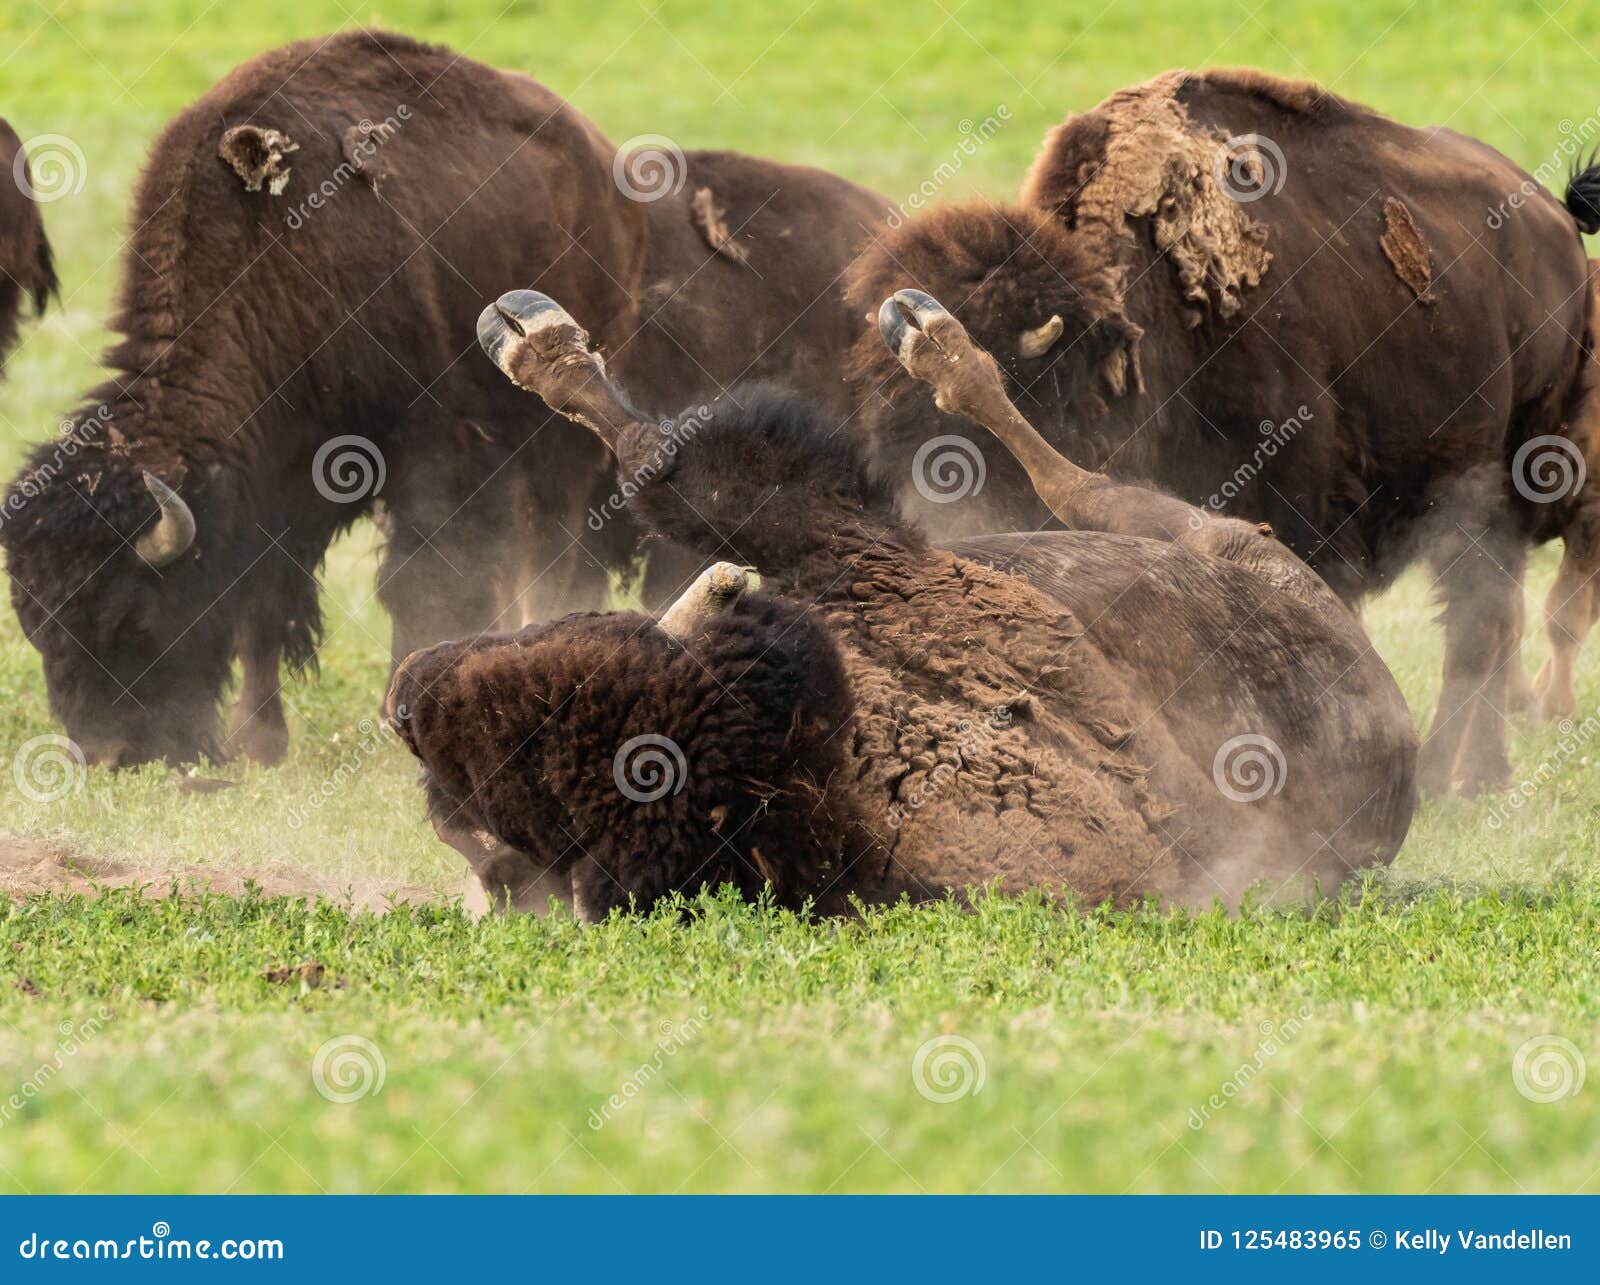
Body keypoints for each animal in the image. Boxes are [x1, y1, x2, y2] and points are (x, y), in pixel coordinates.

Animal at [0, 30, 888, 768]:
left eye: (131, 616)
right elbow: (265, 611)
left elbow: (419, 577)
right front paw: (262, 746)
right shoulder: (275, 485)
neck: (274, 265)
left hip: (556, 446)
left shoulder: (427, 448)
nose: (104, 755)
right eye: (37, 623)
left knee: (552, 550)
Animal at [383, 287, 1417, 920]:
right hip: (1230, 550)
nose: (404, 700)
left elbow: (673, 469)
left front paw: (531, 341)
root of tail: (1397, 746)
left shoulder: (853, 548)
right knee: (1083, 485)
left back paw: (926, 334)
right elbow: (677, 470)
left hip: (1229, 552)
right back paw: (930, 338)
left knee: (1077, 483)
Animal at [843, 69, 1600, 794]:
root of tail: (1555, 223)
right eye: (882, 431)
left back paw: (1450, 778)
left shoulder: (1299, 509)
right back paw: (1482, 775)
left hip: (1496, 485)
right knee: (1493, 623)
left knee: (1480, 624)